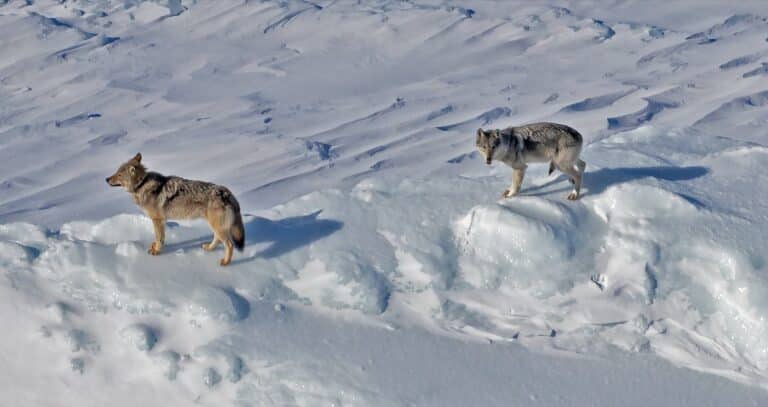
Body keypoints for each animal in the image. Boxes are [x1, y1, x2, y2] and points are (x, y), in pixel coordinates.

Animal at [106, 153, 245, 266]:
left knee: (230, 245)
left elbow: (159, 238)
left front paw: (156, 251)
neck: (142, 184)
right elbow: (159, 238)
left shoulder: (157, 220)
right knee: (217, 239)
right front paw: (155, 247)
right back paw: (209, 248)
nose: (106, 179)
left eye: (119, 174)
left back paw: (225, 262)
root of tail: (226, 193)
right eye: (116, 171)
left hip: (218, 227)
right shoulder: (161, 221)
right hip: (215, 226)